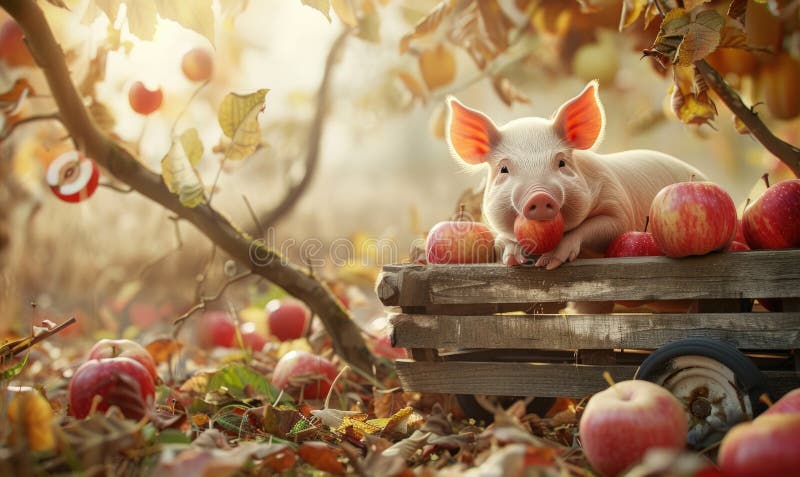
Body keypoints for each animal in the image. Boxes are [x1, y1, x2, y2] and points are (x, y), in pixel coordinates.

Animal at [445, 80, 707, 269]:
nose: (539, 196)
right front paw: (515, 260)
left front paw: (548, 263)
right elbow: (503, 240)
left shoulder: (618, 205)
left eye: (561, 162)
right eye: (504, 169)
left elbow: (605, 225)